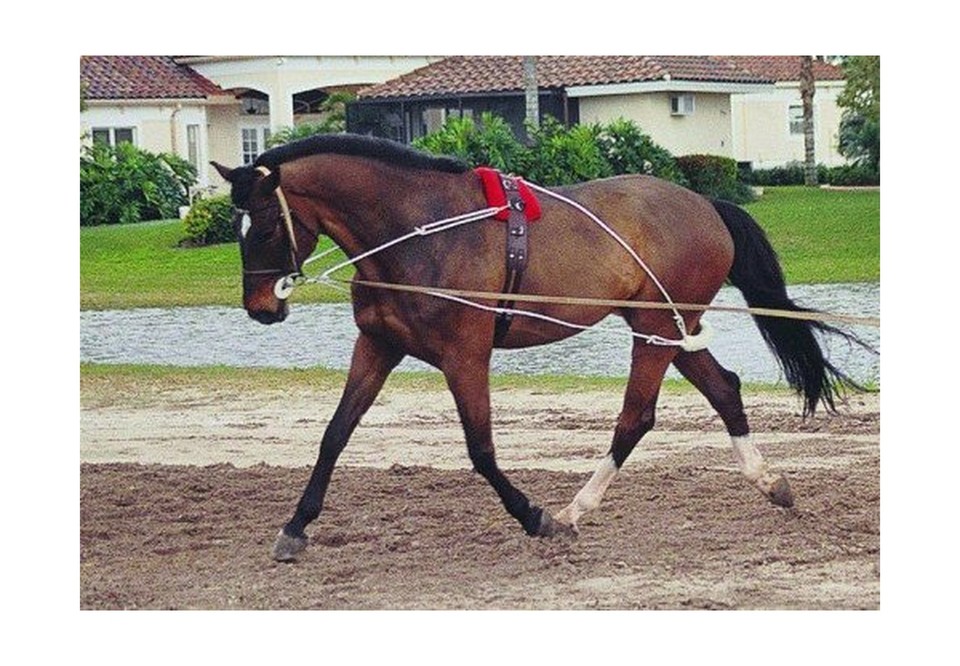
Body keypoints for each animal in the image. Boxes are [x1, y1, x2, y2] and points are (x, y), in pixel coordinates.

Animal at [212, 133, 859, 562]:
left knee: (636, 417)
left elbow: (480, 451)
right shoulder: (376, 347)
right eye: (236, 229)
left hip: (653, 331)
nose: (261, 307)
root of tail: (706, 204)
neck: (418, 233)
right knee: (725, 390)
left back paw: (575, 510)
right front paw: (296, 526)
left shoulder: (465, 357)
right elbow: (335, 435)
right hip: (669, 330)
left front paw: (533, 516)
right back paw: (769, 482)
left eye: (263, 227)